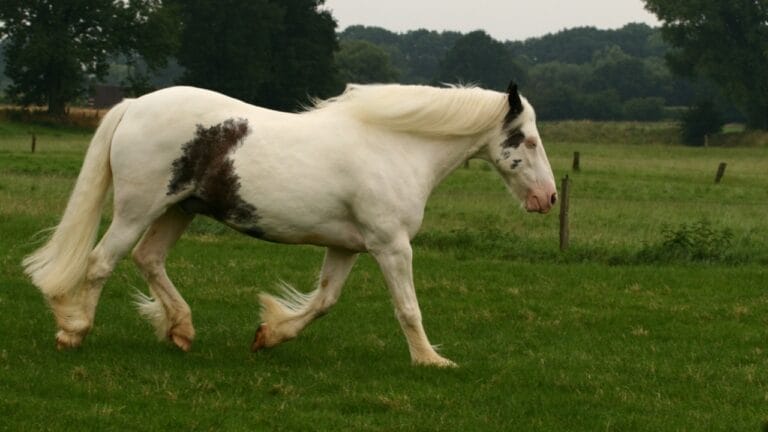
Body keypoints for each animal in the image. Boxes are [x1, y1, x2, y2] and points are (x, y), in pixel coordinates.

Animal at [23, 82, 557, 367]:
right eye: (528, 141)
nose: (548, 198)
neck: (396, 148)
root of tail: (135, 104)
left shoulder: (348, 247)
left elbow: (323, 301)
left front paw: (269, 334)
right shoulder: (391, 246)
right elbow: (408, 308)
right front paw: (432, 360)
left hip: (179, 210)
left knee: (147, 259)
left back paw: (182, 330)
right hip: (138, 208)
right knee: (100, 261)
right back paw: (74, 332)